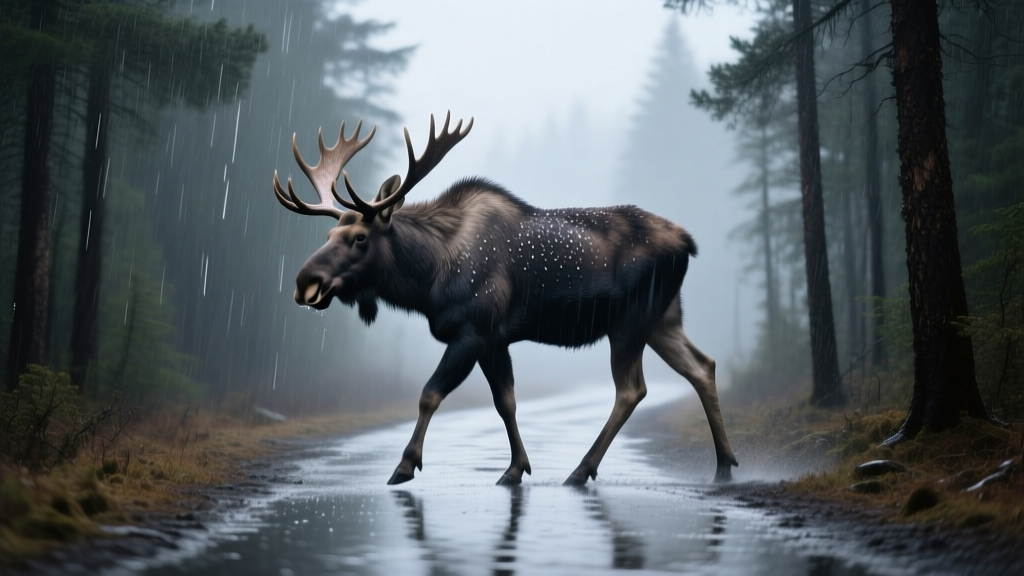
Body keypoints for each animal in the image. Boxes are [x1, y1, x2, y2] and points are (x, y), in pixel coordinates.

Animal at [273, 112, 738, 486]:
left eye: (360, 238)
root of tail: (687, 242)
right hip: (664, 317)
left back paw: (580, 470)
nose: (305, 282)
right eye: (329, 234)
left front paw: (405, 466)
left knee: (632, 389)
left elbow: (430, 393)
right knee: (702, 366)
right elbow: (505, 402)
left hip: (630, 321)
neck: (427, 279)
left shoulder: (472, 331)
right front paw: (516, 469)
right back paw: (724, 464)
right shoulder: (495, 340)